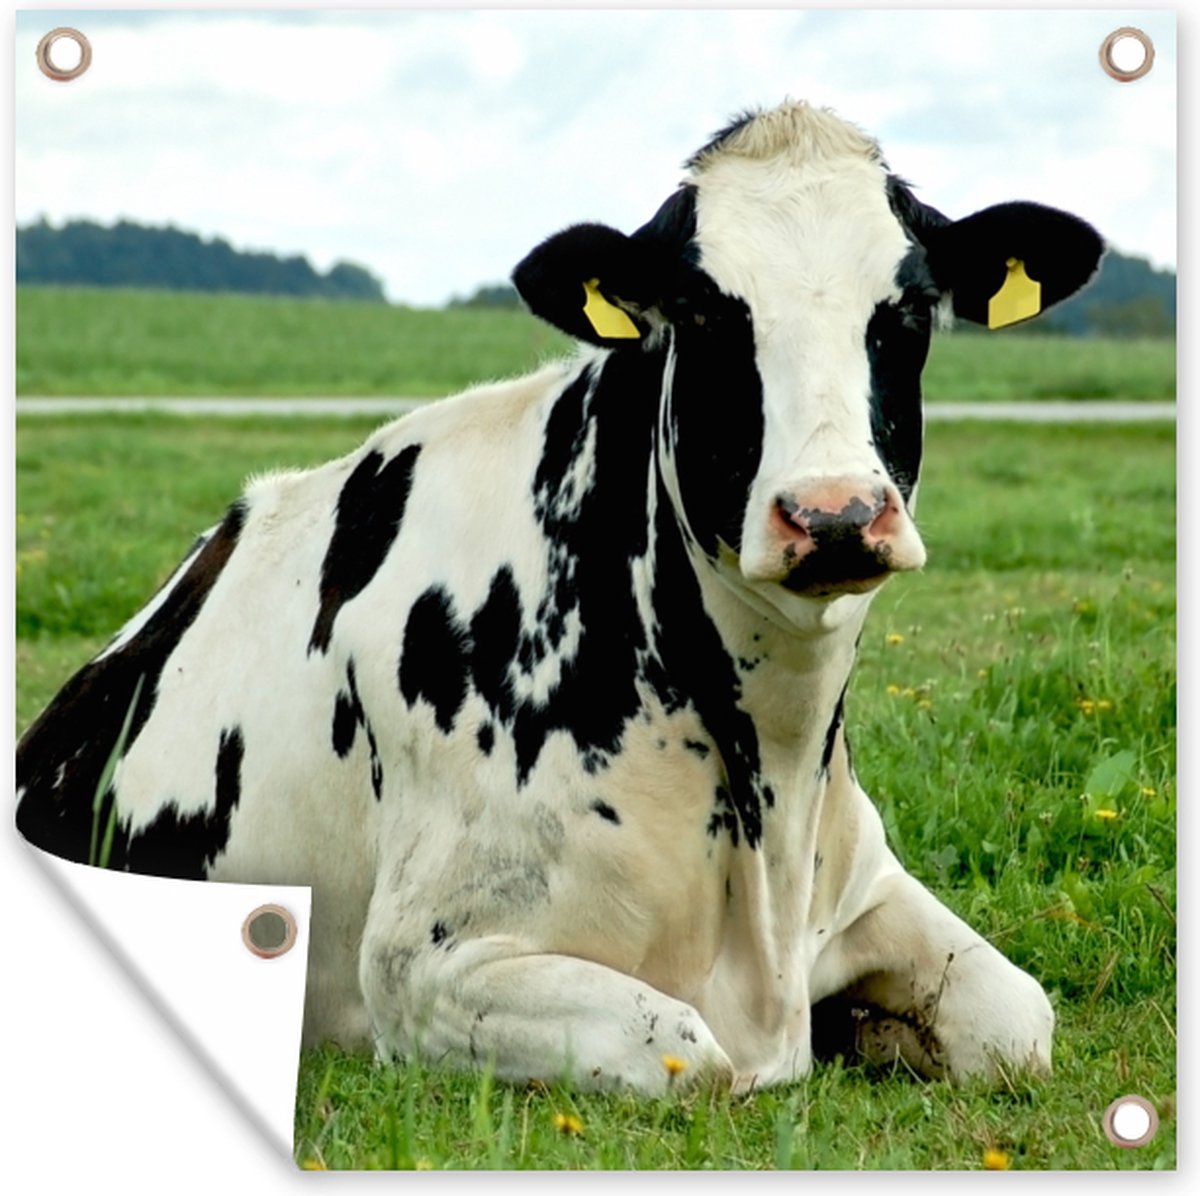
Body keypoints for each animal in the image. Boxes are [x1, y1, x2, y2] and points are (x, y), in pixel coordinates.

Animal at [16, 101, 1103, 1094]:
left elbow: (1019, 1018)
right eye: (702, 310)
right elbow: (691, 1055)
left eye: (911, 310)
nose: (833, 513)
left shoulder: (865, 889)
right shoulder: (424, 968)